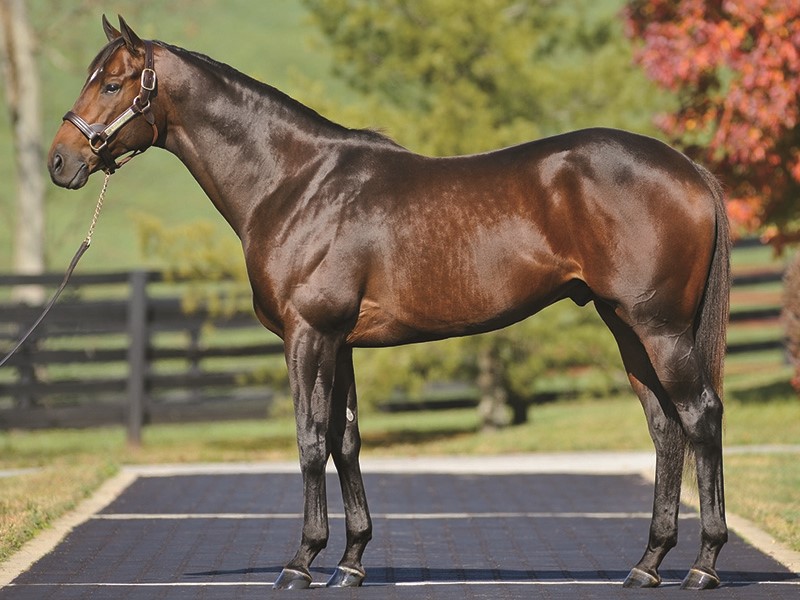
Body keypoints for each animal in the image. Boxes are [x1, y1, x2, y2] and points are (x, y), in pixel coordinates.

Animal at [48, 16, 730, 591]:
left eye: (112, 83)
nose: (60, 161)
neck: (296, 183)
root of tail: (689, 169)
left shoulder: (308, 334)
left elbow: (309, 441)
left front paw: (301, 561)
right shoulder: (340, 341)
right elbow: (345, 440)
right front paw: (349, 562)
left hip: (660, 328)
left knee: (700, 415)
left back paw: (703, 565)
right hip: (626, 327)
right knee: (665, 427)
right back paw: (647, 564)